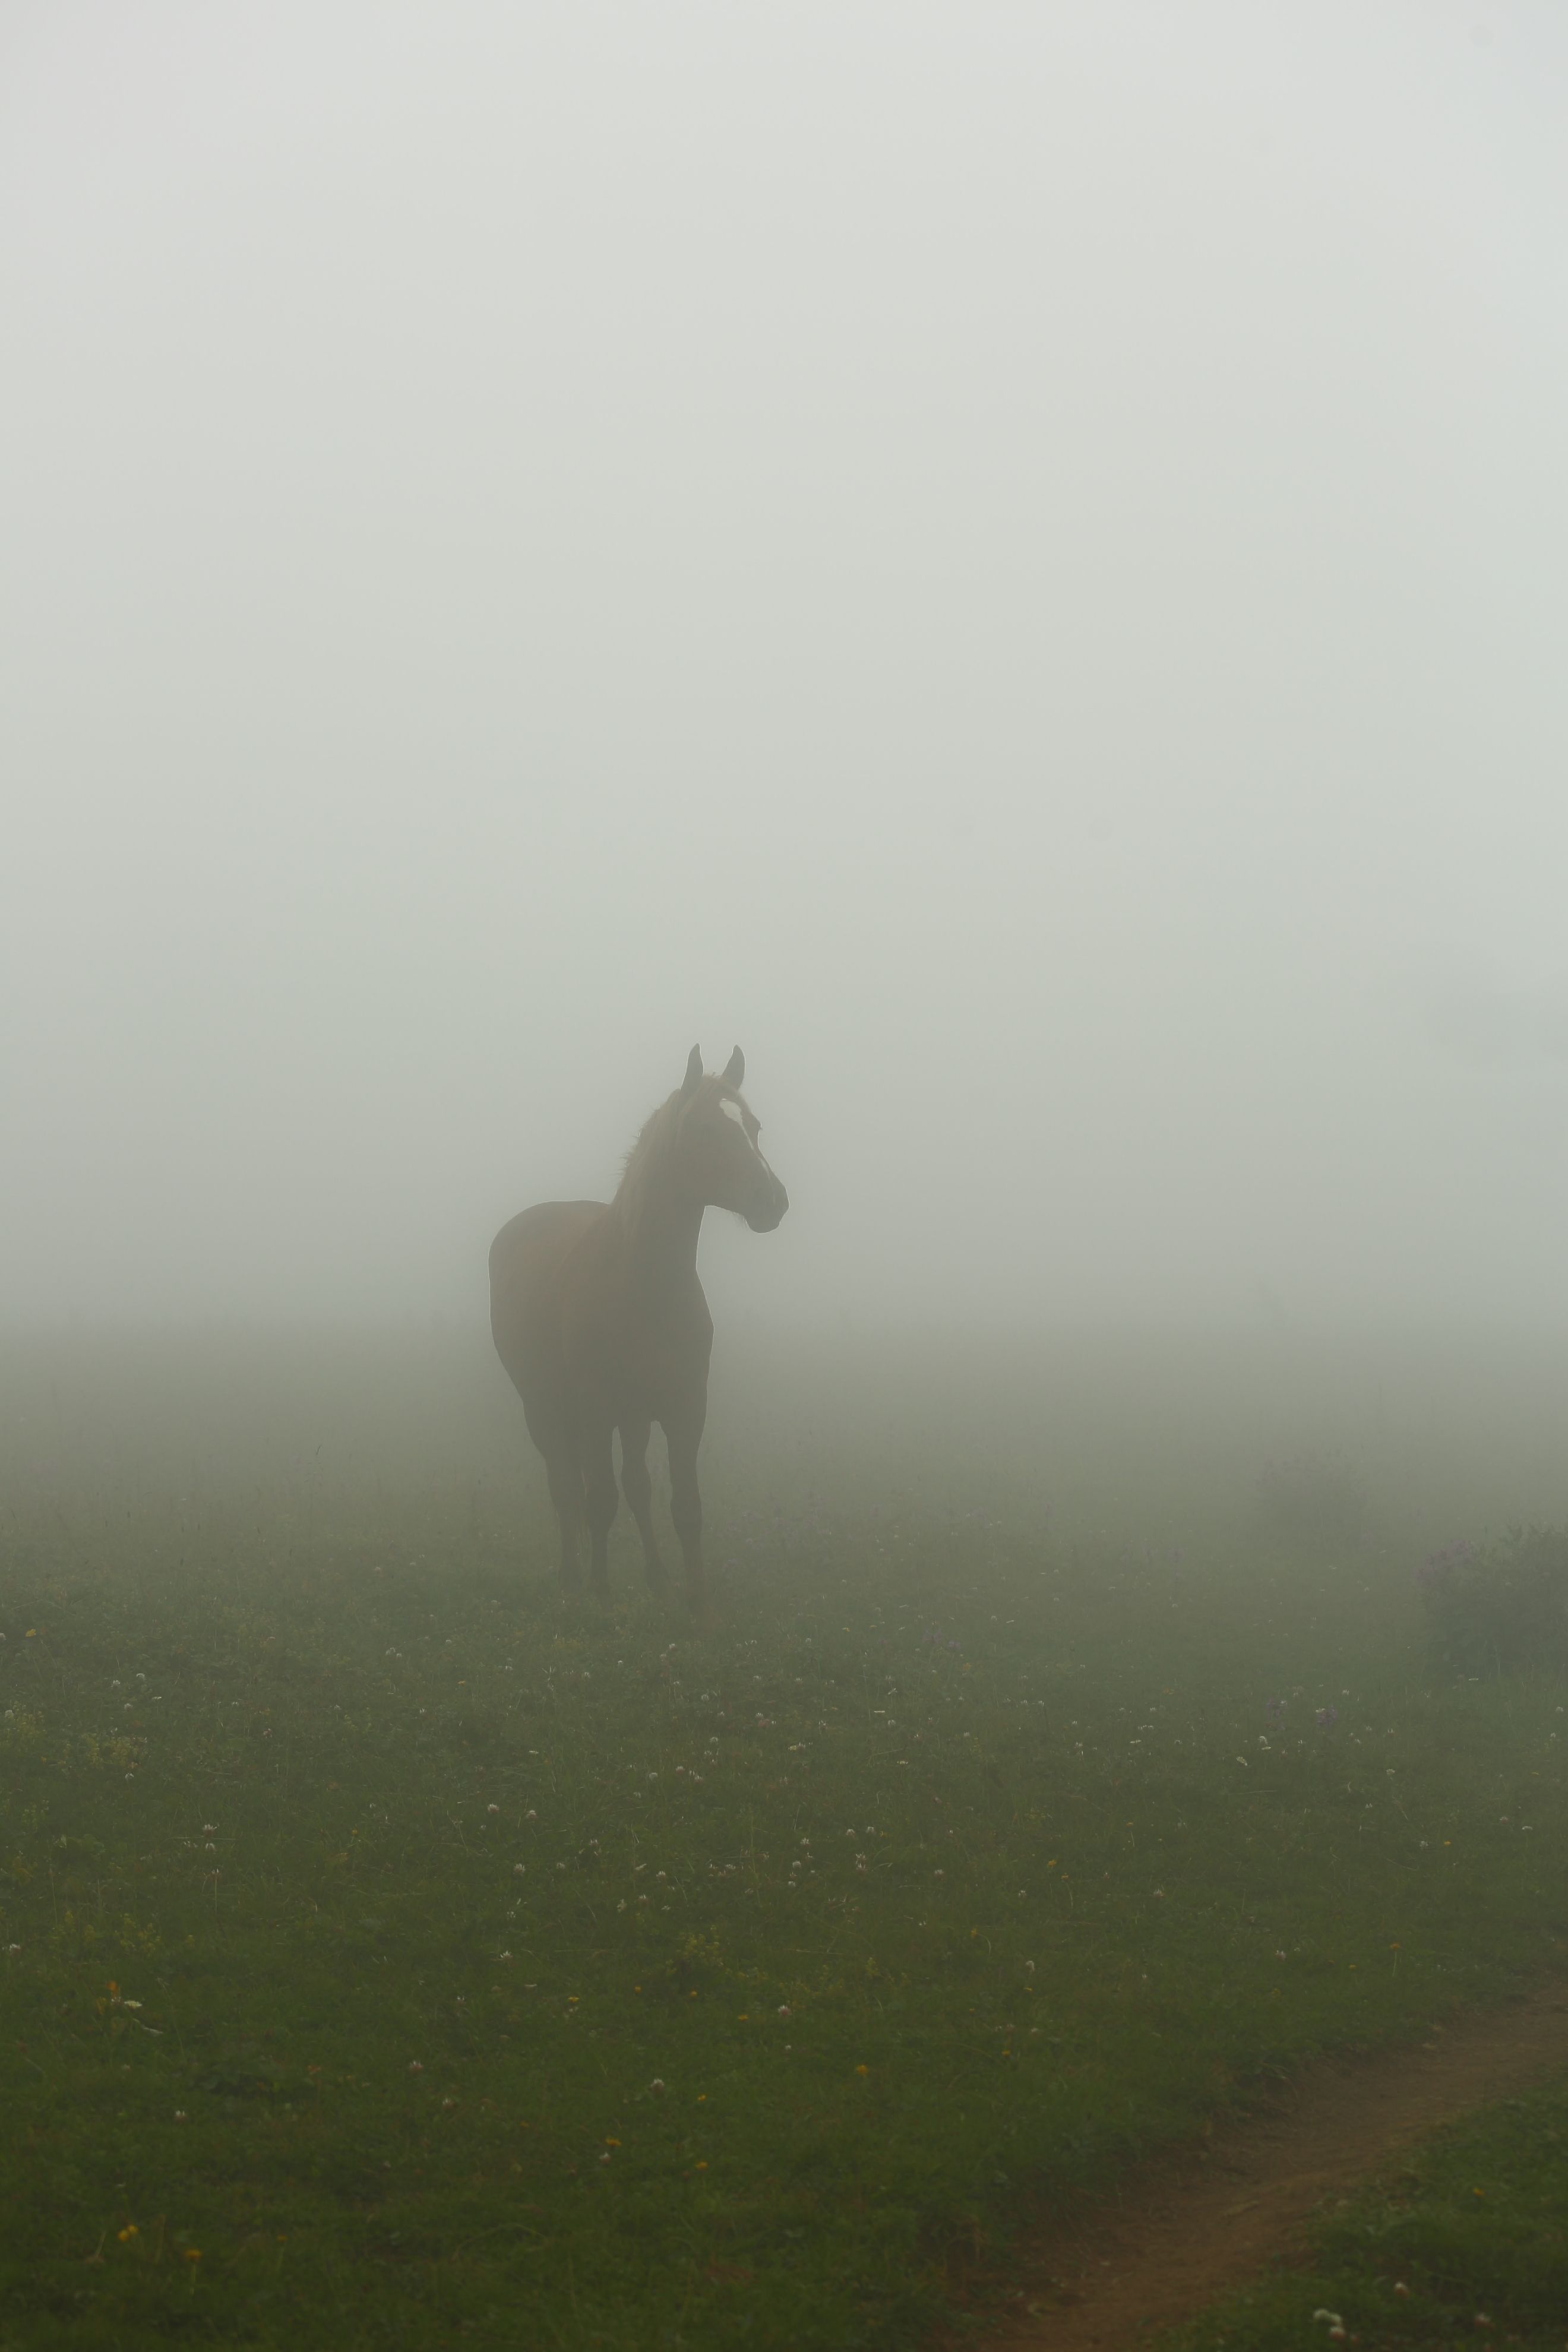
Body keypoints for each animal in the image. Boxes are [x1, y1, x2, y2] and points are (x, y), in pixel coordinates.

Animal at [488, 1046, 789, 1614]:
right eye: (703, 1128)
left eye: (754, 1126)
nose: (774, 1201)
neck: (643, 1287)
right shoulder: (594, 1411)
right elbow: (599, 1502)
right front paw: (602, 1596)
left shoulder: (685, 1410)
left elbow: (685, 1507)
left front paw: (697, 1602)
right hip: (545, 1410)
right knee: (567, 1489)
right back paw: (572, 1577)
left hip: (632, 1418)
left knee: (636, 1487)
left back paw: (657, 1576)